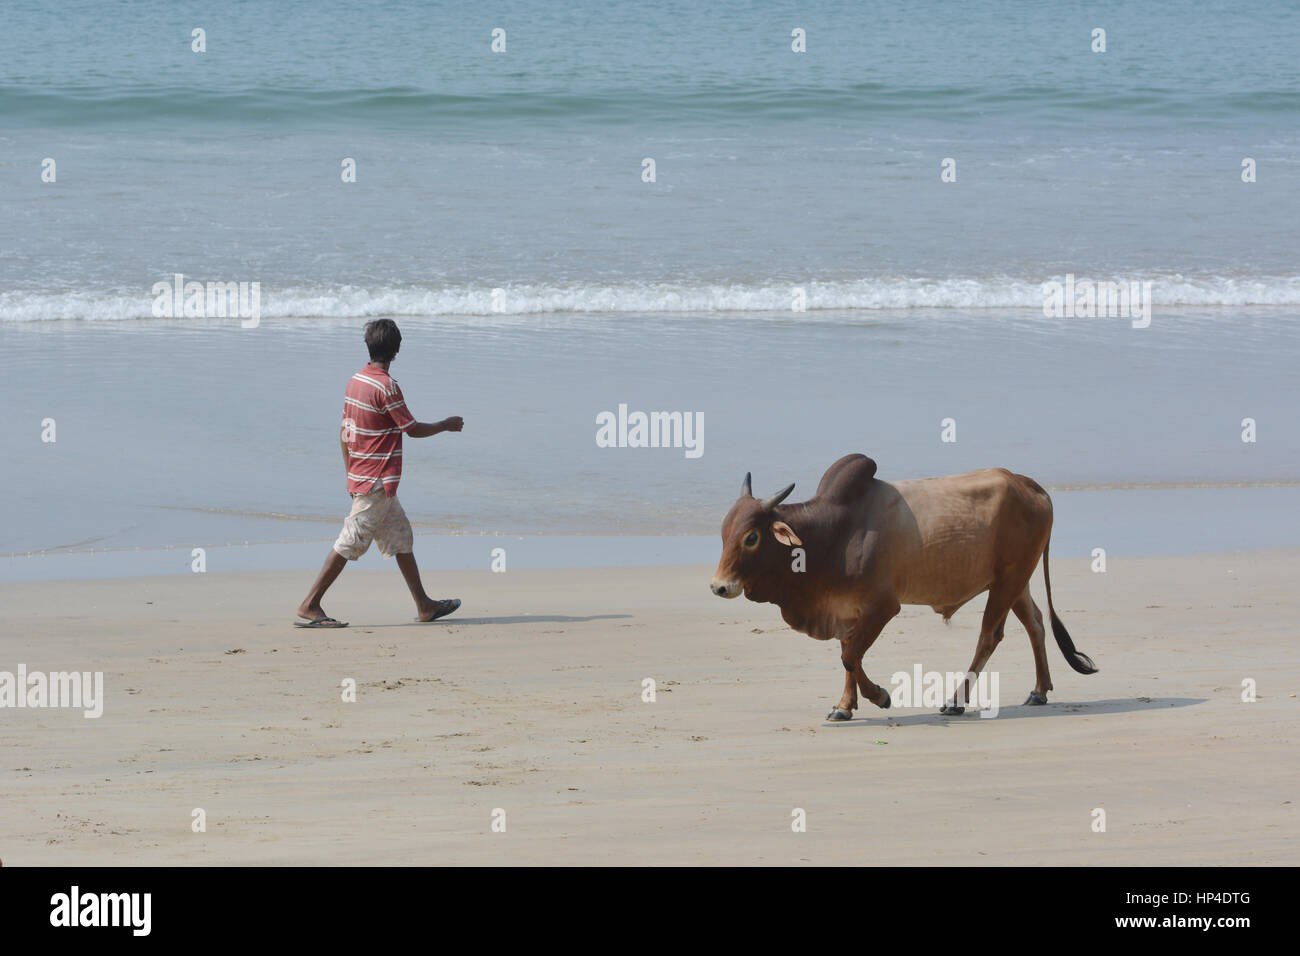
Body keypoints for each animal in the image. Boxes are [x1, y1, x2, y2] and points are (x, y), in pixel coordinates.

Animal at [710, 454, 1097, 719]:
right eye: (725, 533)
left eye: (751, 537)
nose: (719, 587)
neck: (832, 534)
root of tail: (1029, 484)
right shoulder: (845, 609)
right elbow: (849, 654)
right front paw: (844, 706)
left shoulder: (883, 606)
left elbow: (850, 656)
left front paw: (880, 696)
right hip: (1015, 580)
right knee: (1035, 623)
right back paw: (1039, 691)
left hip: (1009, 579)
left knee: (990, 636)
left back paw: (956, 701)